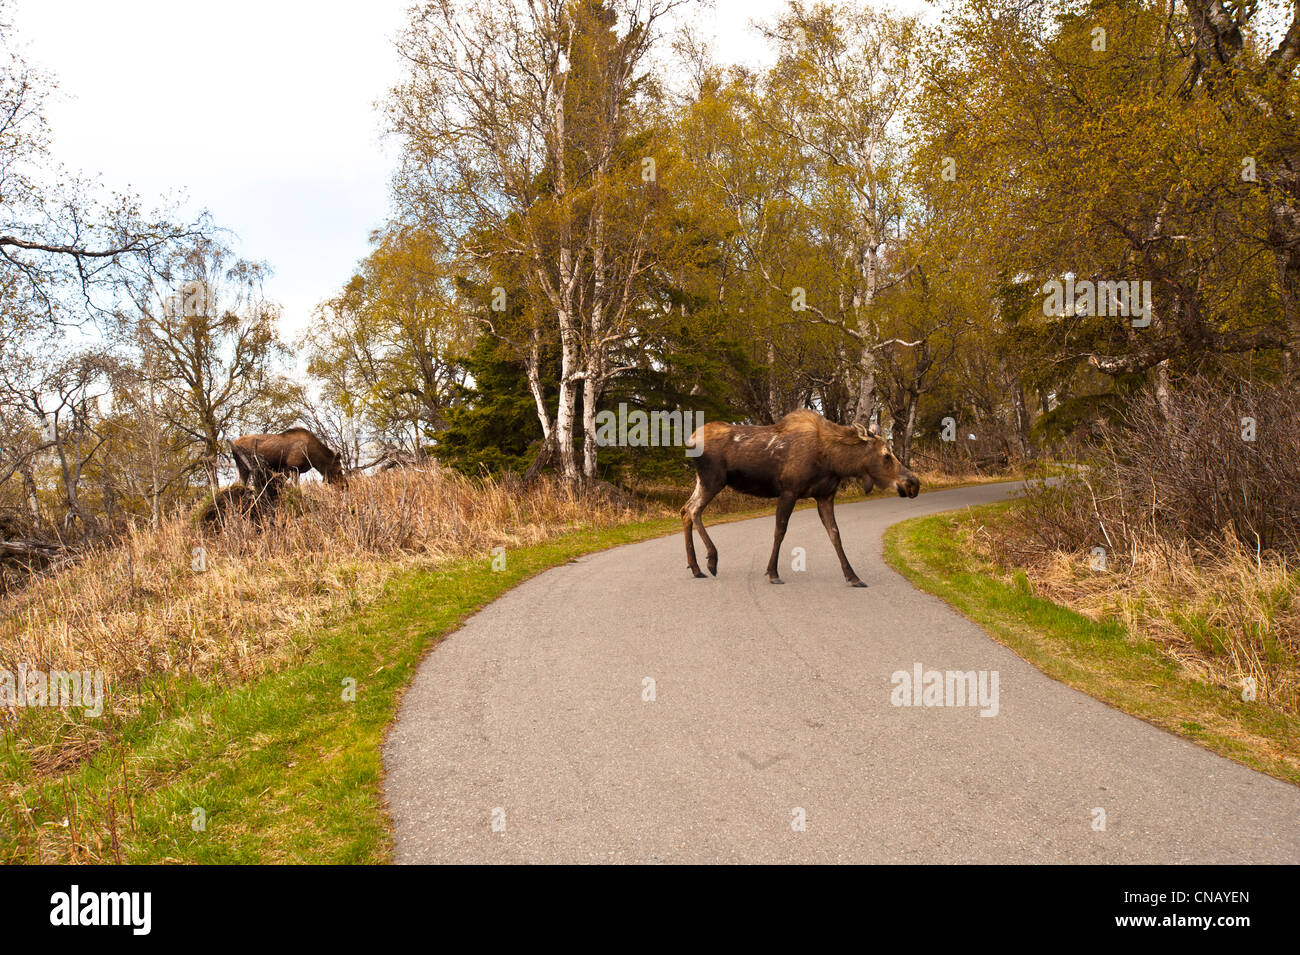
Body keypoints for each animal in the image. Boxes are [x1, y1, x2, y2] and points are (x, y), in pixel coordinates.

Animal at [681, 409, 920, 586]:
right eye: (886, 455)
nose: (913, 483)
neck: (835, 461)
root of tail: (690, 440)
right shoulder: (789, 491)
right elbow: (780, 530)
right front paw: (773, 573)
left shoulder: (825, 496)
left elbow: (835, 534)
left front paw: (853, 576)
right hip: (713, 480)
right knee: (694, 510)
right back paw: (711, 560)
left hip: (703, 481)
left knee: (685, 510)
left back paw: (696, 568)